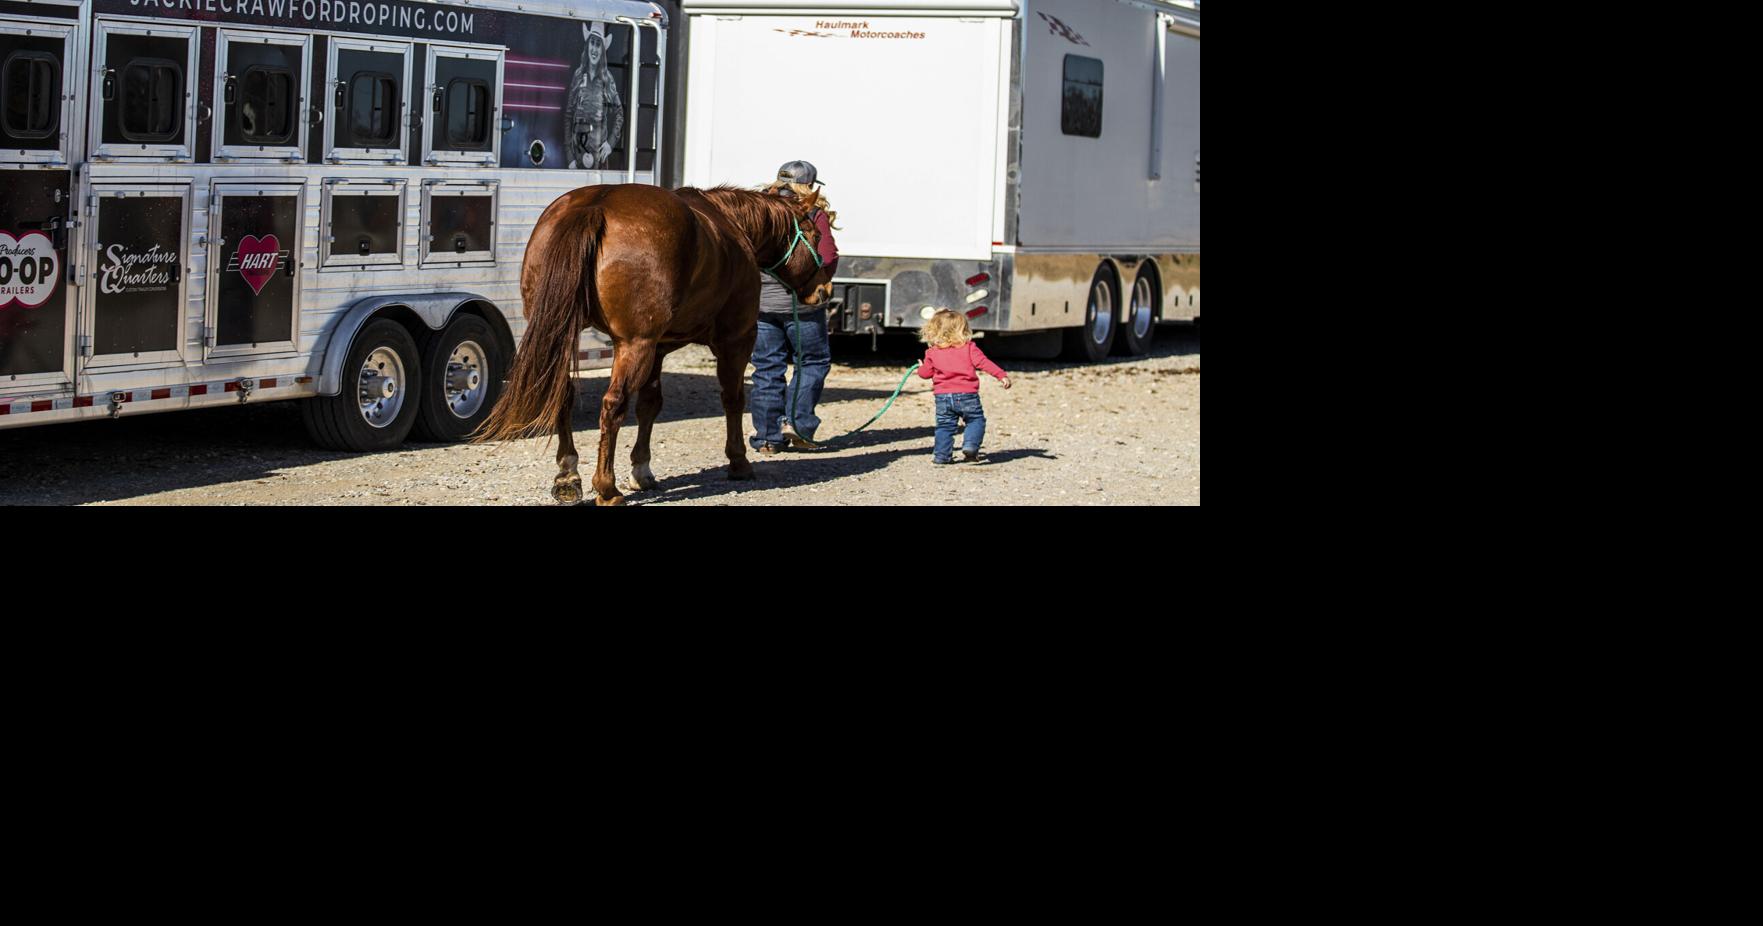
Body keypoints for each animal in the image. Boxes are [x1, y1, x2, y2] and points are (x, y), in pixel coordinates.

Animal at [474, 183, 838, 505]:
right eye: (817, 235)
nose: (824, 292)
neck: (732, 228)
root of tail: (595, 204)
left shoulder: (659, 348)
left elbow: (650, 404)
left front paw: (641, 469)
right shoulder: (735, 339)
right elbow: (733, 399)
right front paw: (738, 461)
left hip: (567, 336)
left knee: (563, 394)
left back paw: (568, 475)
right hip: (634, 345)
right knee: (612, 405)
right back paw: (606, 487)